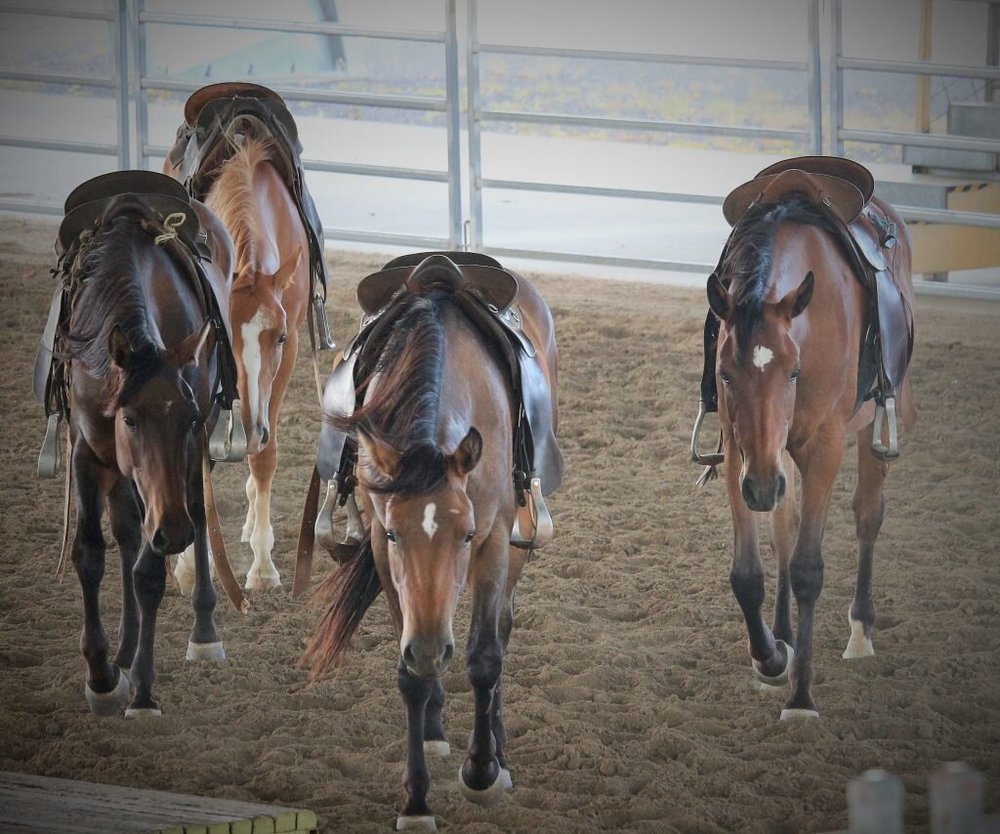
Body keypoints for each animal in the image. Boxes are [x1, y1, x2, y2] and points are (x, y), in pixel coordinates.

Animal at [54, 178, 236, 716]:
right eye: (129, 418)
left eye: (188, 417)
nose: (171, 532)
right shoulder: (89, 454)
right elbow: (91, 553)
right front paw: (101, 675)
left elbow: (151, 571)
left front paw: (143, 690)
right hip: (121, 474)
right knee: (128, 532)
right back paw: (124, 650)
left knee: (193, 516)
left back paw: (201, 631)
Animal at [169, 134, 310, 592]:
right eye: (221, 337)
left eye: (277, 337)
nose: (247, 427)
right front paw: (191, 566)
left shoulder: (290, 351)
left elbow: (264, 456)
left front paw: (262, 567)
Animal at [302, 258, 561, 831]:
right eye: (395, 534)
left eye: (465, 534)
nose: (428, 648)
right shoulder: (382, 551)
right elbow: (411, 676)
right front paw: (417, 800)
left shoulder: (494, 539)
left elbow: (485, 656)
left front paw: (483, 771)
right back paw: (438, 730)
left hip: (518, 543)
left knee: (501, 631)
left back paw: (498, 749)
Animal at [703, 178, 915, 720]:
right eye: (725, 375)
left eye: (793, 371)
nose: (760, 487)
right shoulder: (741, 454)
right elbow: (749, 573)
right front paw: (772, 658)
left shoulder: (822, 450)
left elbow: (807, 569)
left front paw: (801, 696)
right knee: (784, 529)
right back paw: (783, 636)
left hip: (874, 425)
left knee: (868, 514)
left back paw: (860, 631)